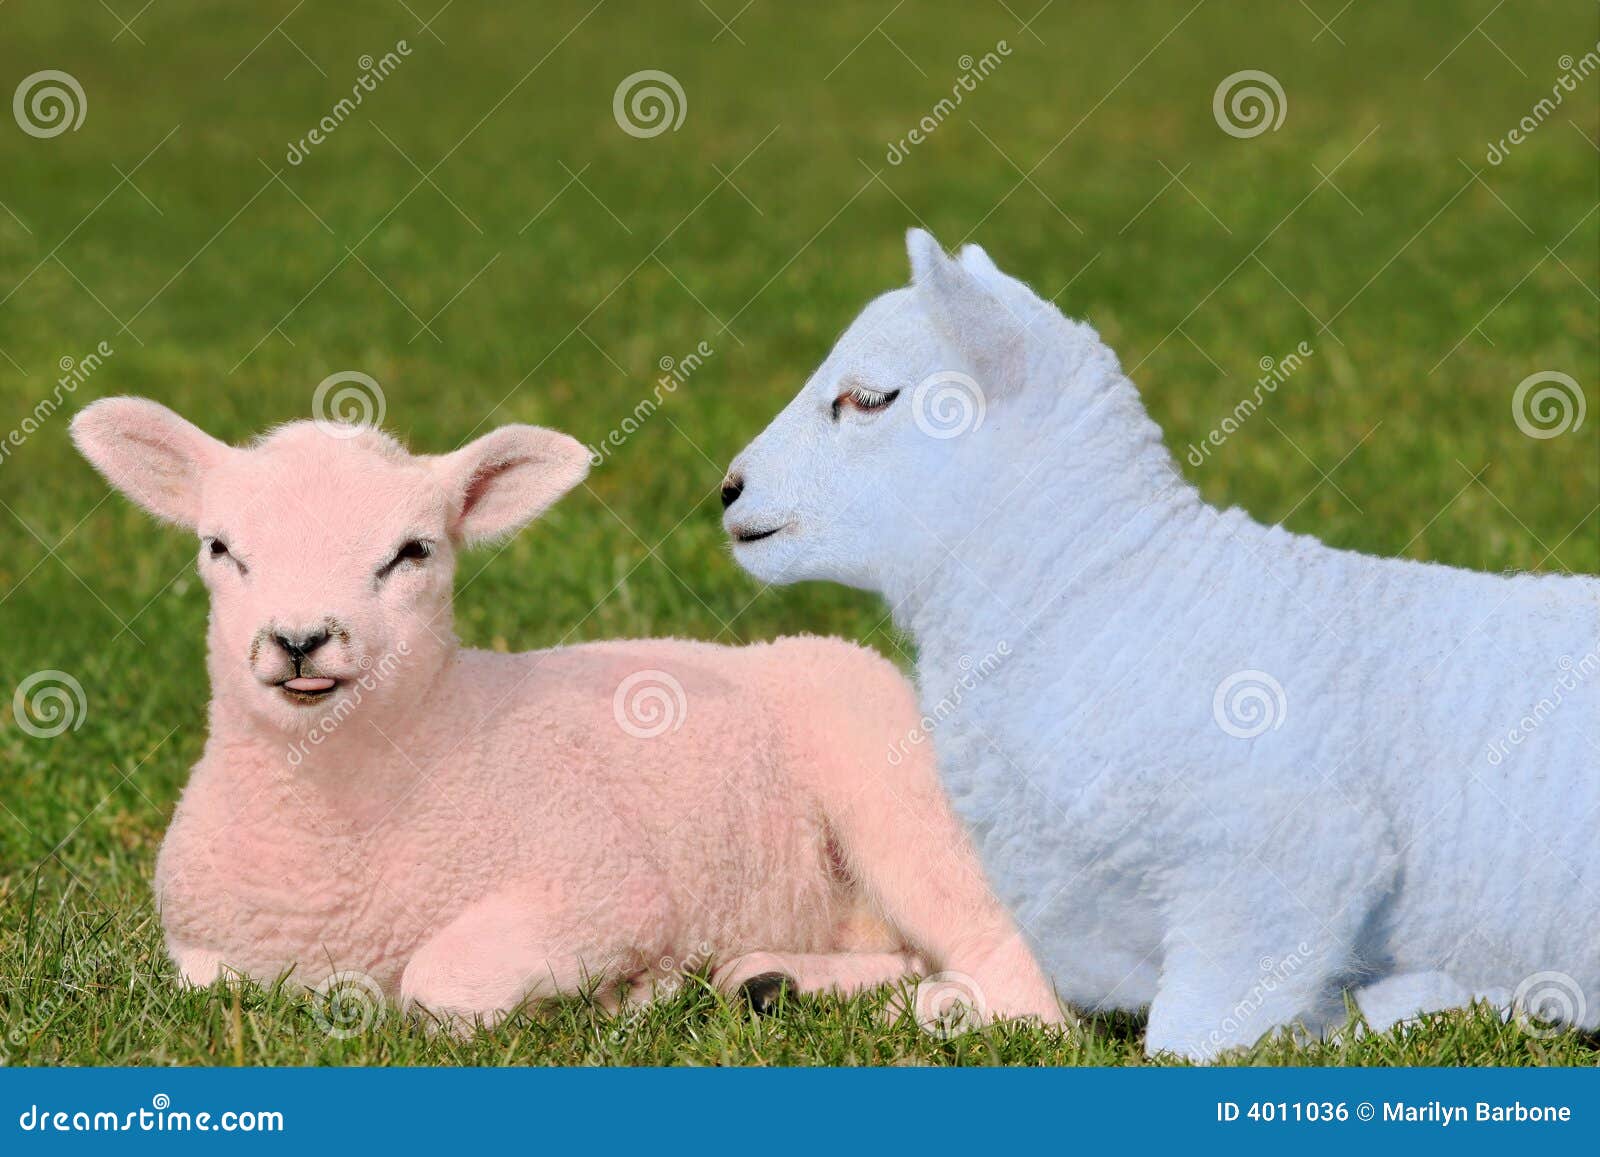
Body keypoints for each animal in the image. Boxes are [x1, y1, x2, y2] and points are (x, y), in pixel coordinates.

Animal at [68, 396, 1063, 1033]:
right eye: (220, 548)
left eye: (413, 551)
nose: (301, 638)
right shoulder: (201, 947)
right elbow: (221, 986)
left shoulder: (603, 889)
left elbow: (440, 985)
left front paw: (626, 995)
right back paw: (767, 981)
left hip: (896, 787)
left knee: (1029, 994)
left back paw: (932, 1007)